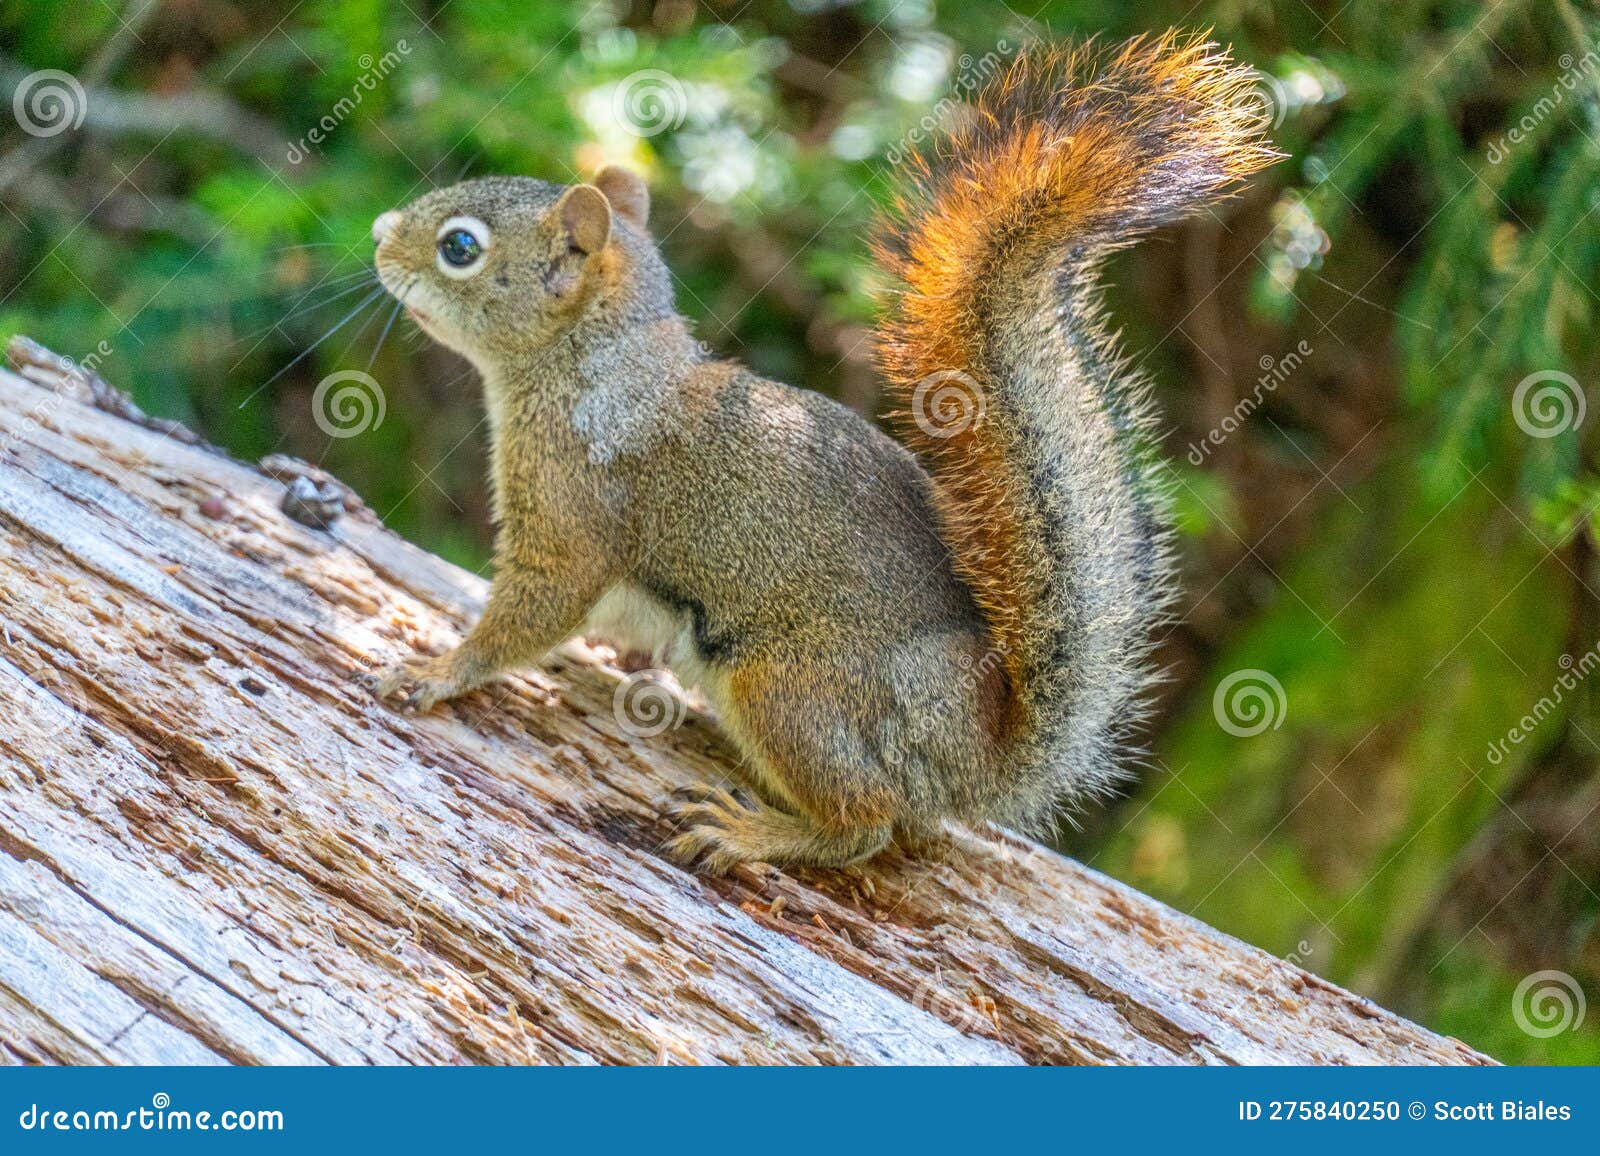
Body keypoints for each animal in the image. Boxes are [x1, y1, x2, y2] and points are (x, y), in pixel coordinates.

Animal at [369, 32, 1276, 872]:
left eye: (459, 247)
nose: (378, 234)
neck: (591, 361)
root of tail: (980, 765)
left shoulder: (574, 510)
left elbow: (534, 610)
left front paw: (439, 669)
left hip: (791, 691)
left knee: (866, 824)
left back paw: (756, 833)